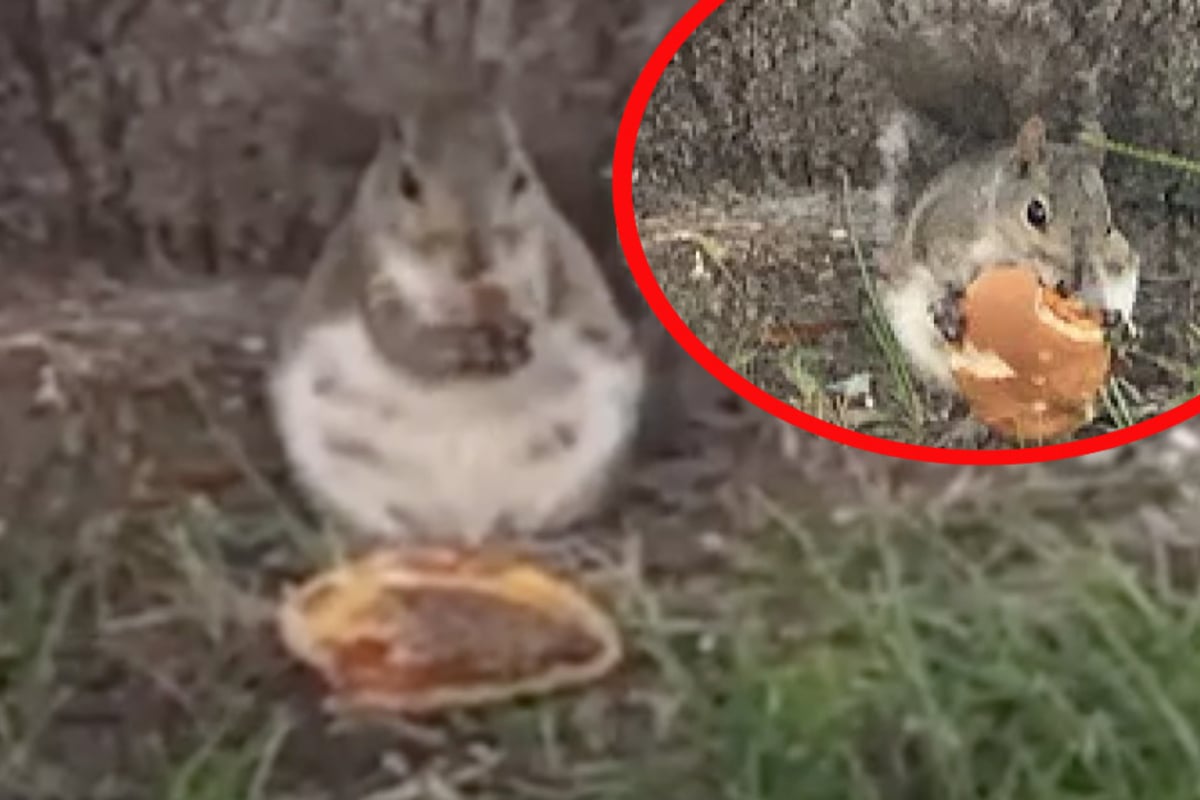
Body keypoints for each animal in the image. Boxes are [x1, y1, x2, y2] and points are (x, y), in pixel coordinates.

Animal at [268, 83, 645, 544]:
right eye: (407, 185)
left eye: (520, 180)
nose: (475, 261)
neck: (467, 300)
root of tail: (465, 526)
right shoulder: (369, 272)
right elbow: (402, 342)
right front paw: (460, 348)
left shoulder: (544, 261)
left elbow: (541, 310)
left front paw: (518, 334)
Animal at [846, 25, 1142, 391]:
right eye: (1035, 213)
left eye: (1108, 226)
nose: (1070, 284)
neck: (1009, 251)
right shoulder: (948, 226)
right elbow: (941, 267)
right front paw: (949, 301)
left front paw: (1104, 315)